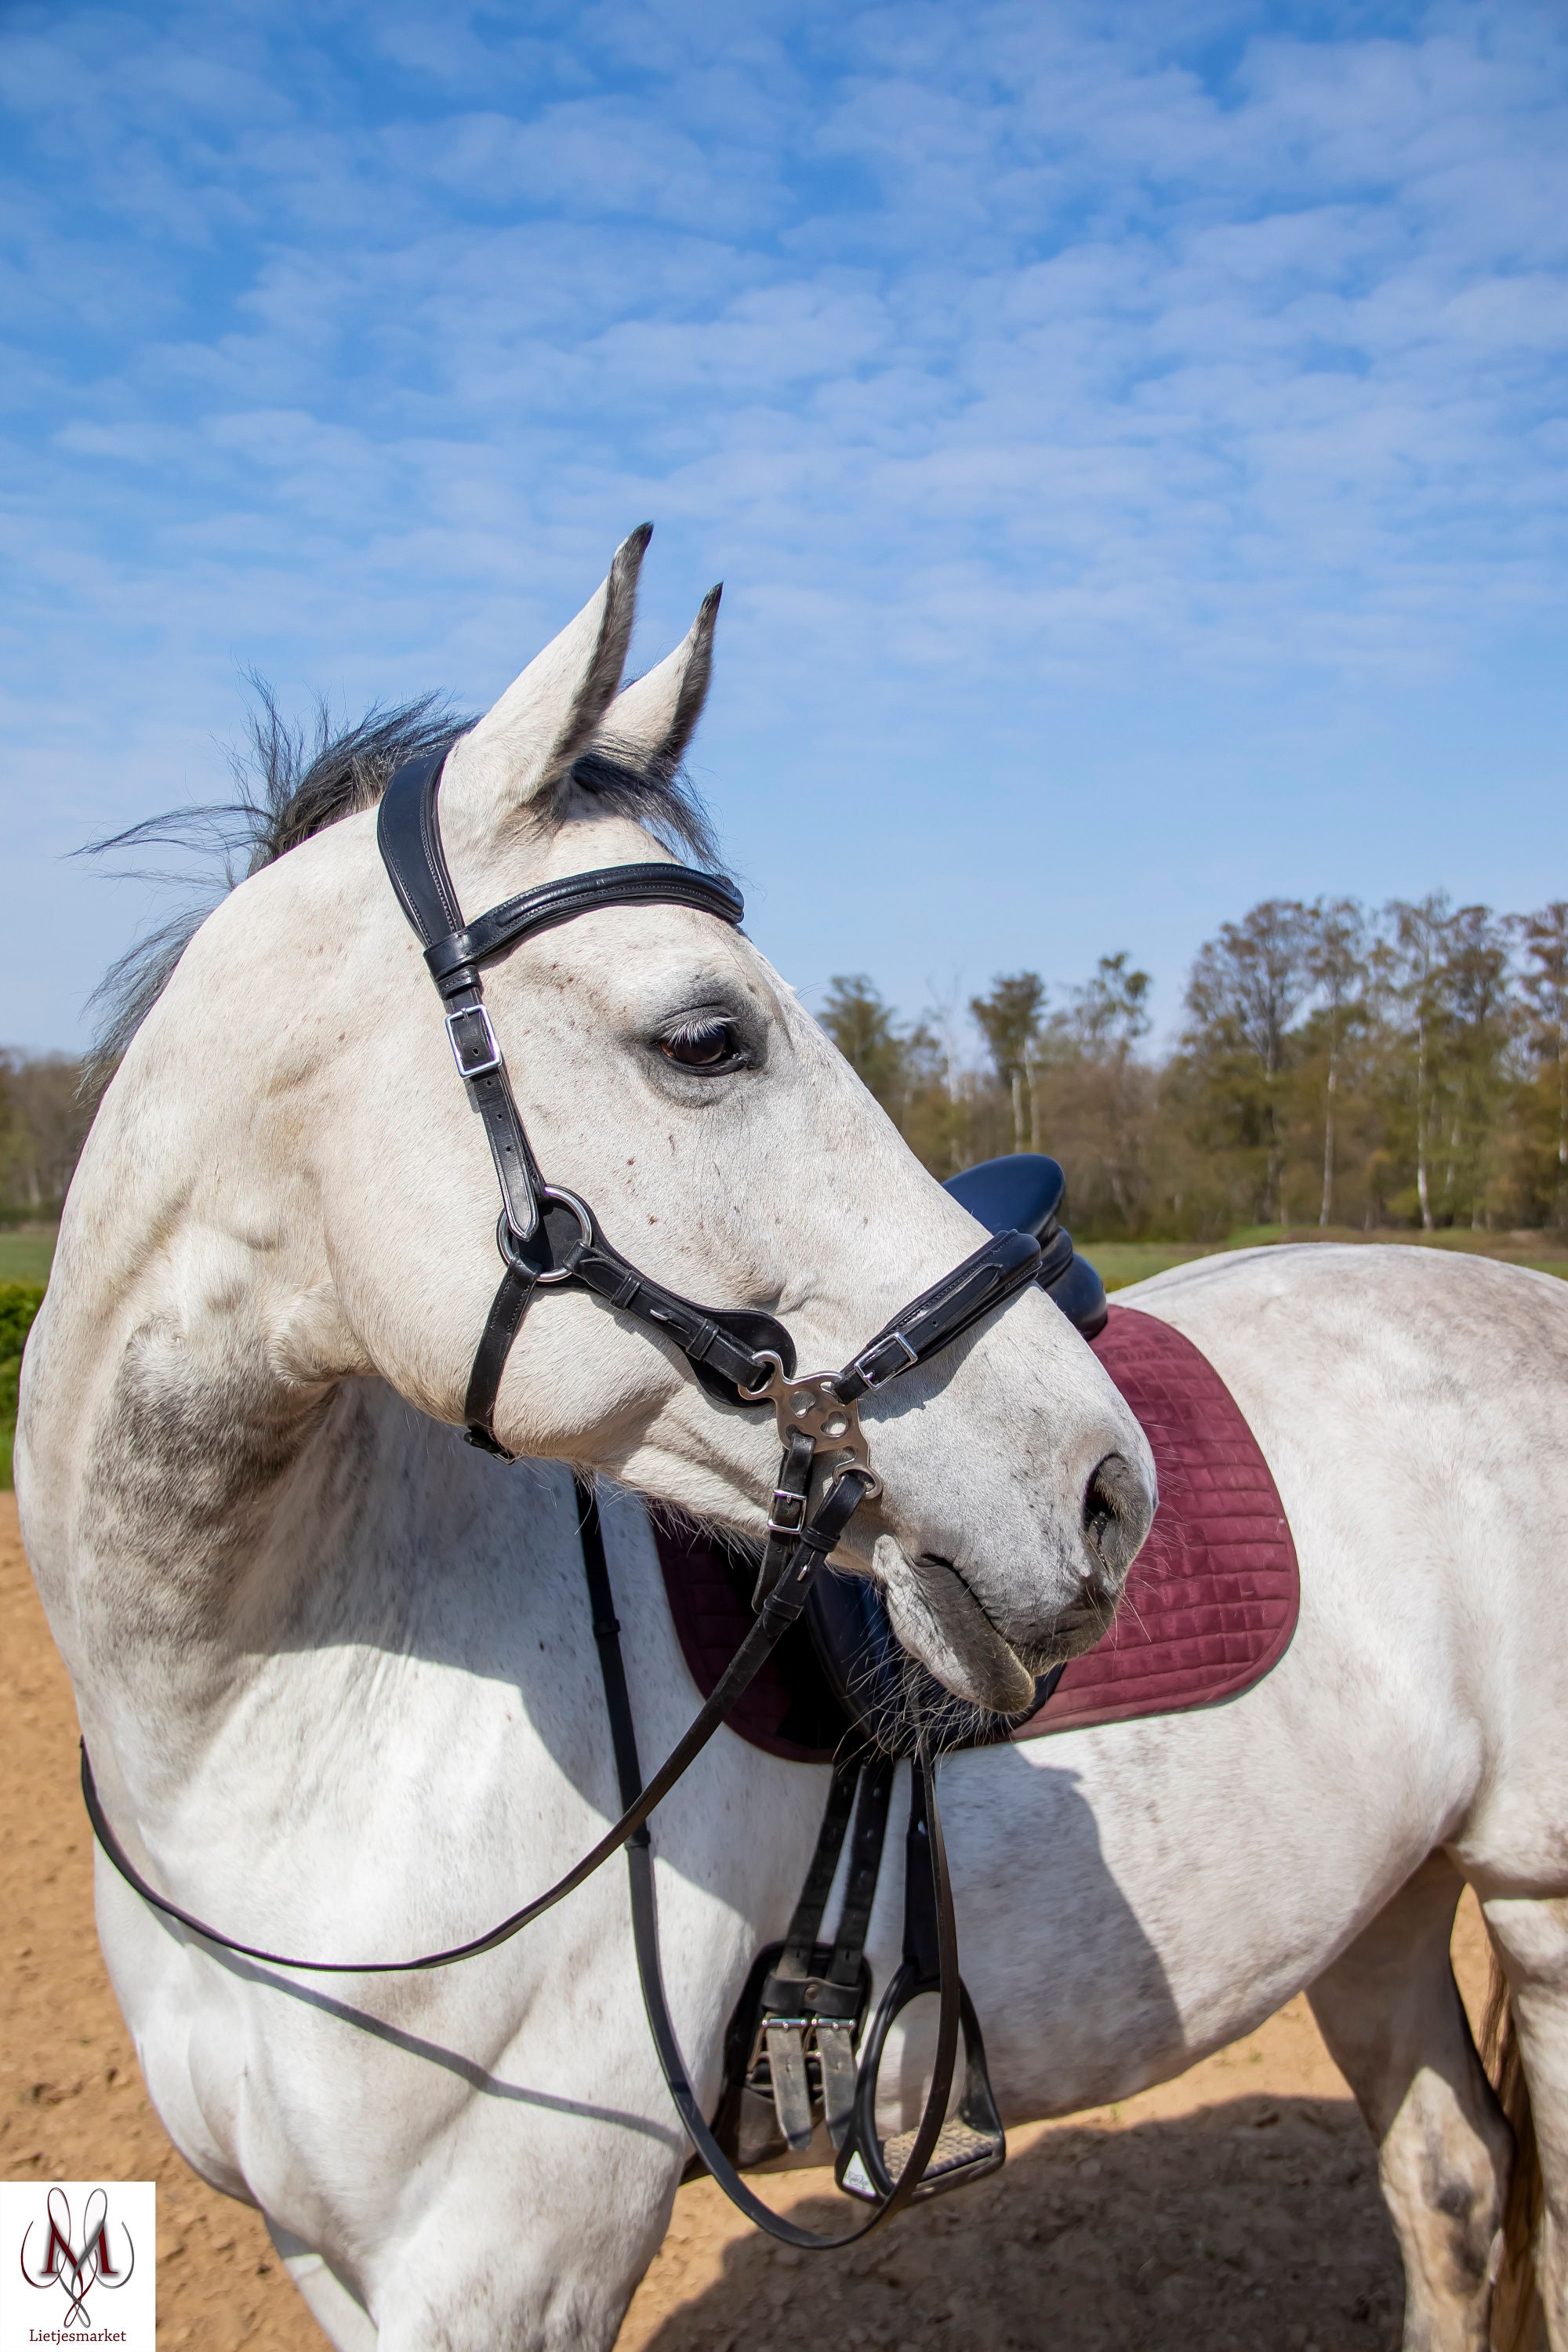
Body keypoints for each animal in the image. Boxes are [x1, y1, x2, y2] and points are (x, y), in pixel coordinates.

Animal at [15, 532, 1568, 2352]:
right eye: (707, 1036)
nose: (1110, 1493)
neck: (265, 1724)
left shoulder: (502, 2269)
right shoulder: (333, 2262)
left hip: (1538, 1909)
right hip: (1383, 1903)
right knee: (1451, 2190)